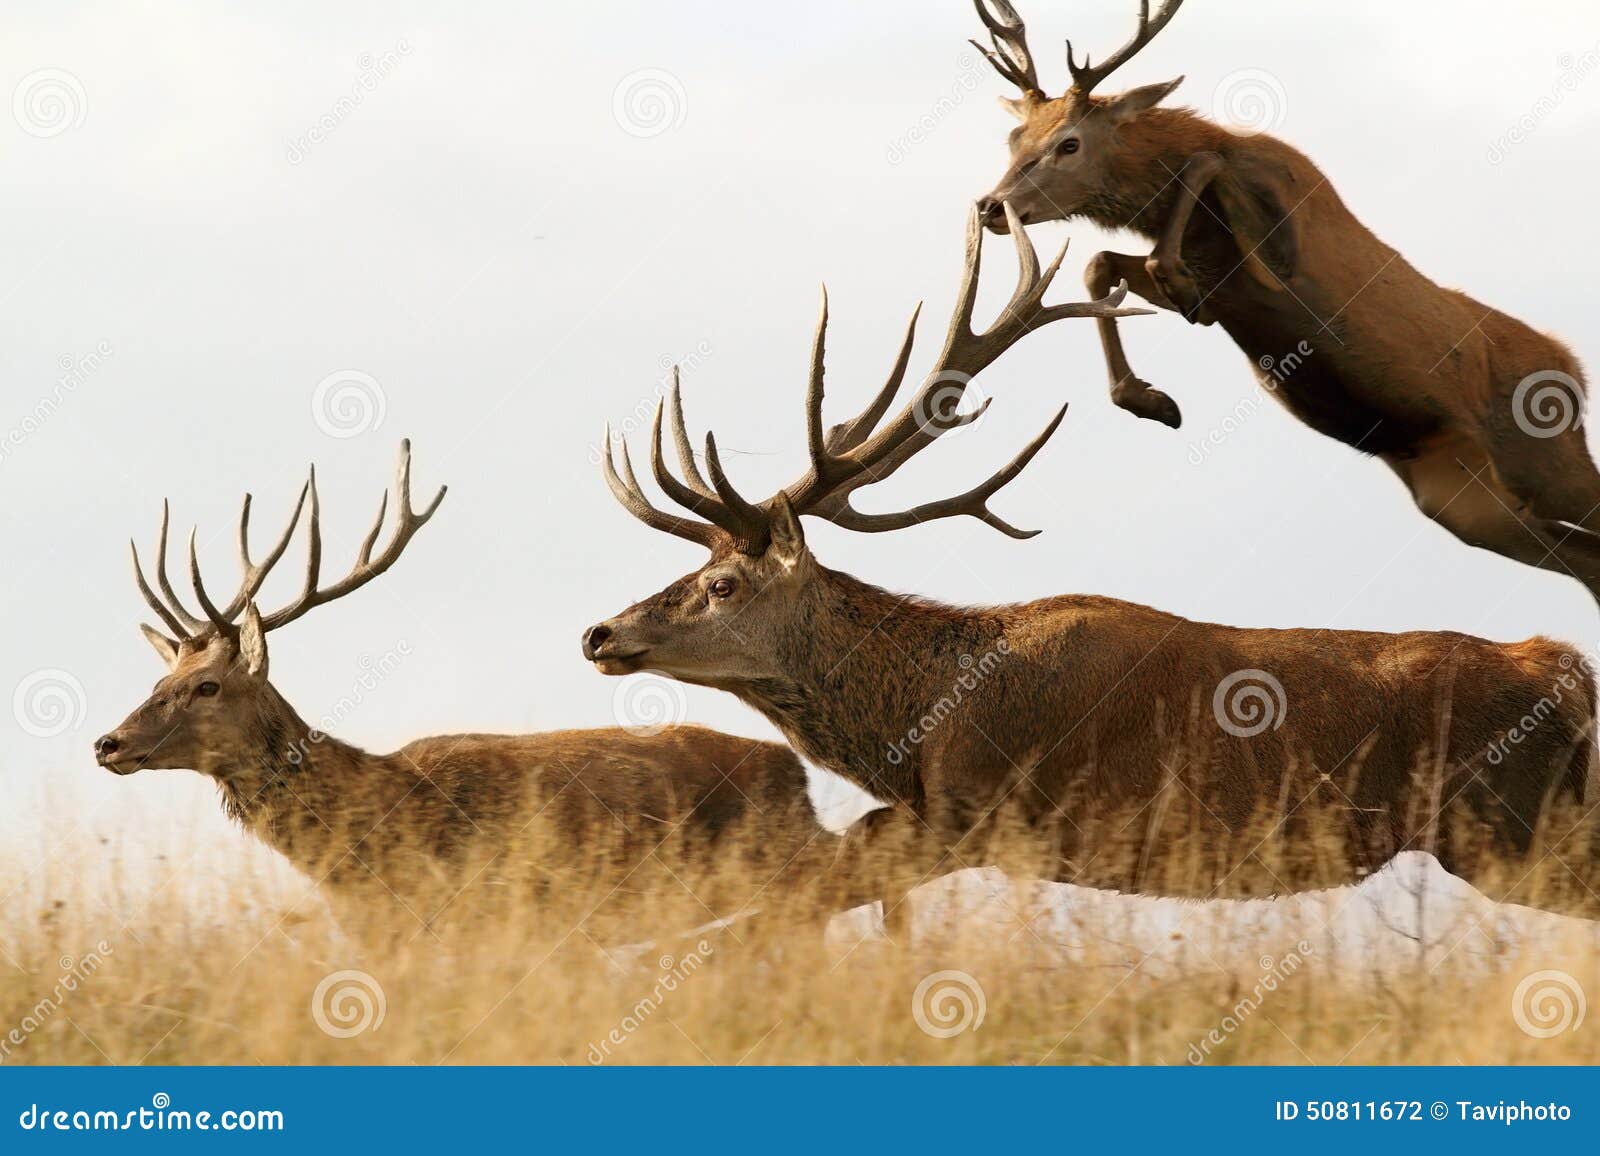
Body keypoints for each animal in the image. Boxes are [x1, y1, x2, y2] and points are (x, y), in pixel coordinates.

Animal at [581, 207, 1598, 920]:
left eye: (723, 583)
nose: (599, 633)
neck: (919, 725)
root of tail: (1565, 668)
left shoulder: (979, 809)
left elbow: (795, 897)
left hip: (1516, 821)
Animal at [968, 0, 1600, 607]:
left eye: (1069, 142)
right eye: (1014, 139)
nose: (991, 206)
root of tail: (1574, 374)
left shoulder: (1278, 264)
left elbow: (1202, 168)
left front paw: (1171, 289)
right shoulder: (1223, 293)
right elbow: (1100, 263)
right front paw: (1152, 398)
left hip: (1547, 456)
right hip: (1466, 502)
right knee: (1581, 558)